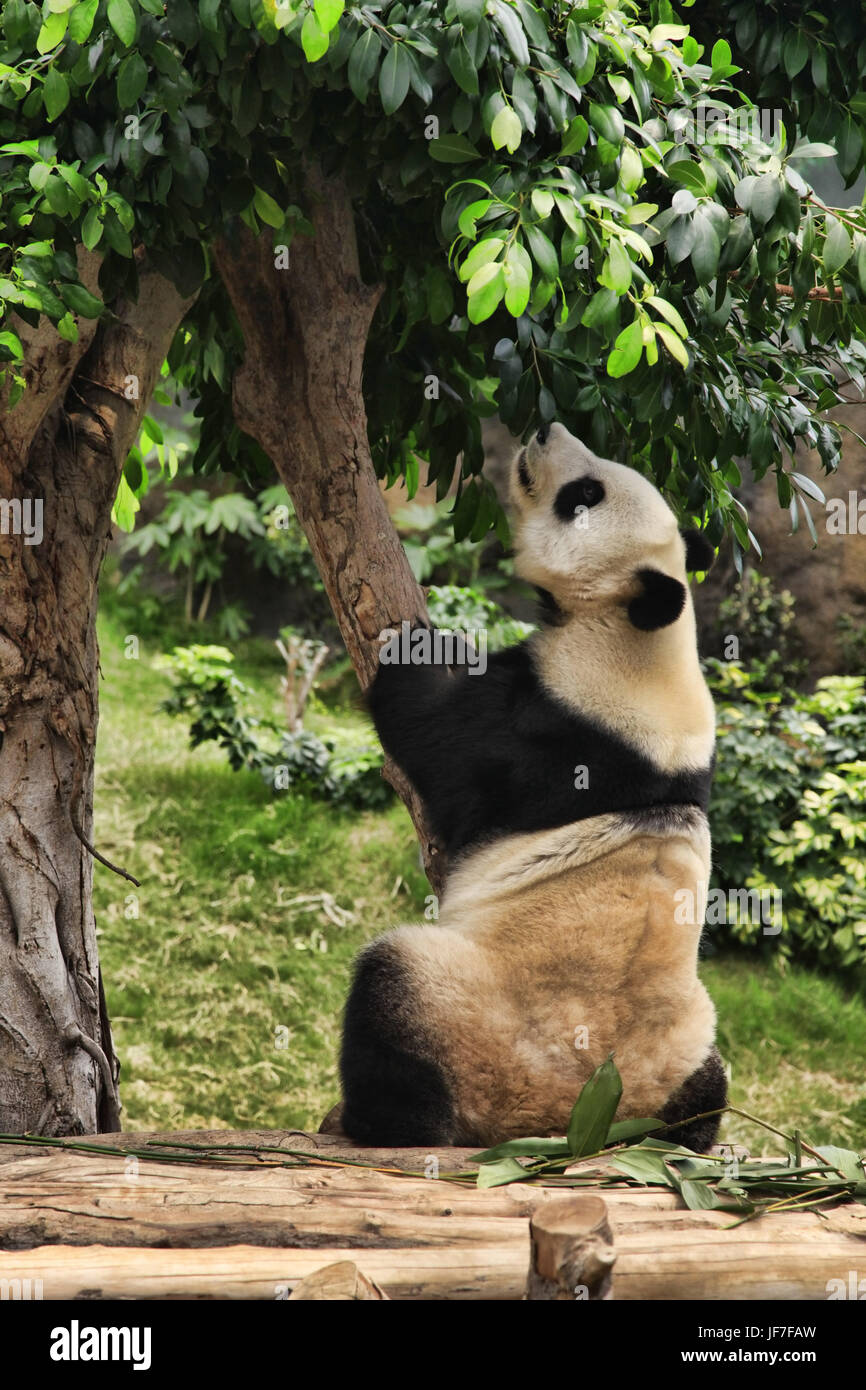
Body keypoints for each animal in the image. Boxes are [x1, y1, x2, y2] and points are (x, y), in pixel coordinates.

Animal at [338, 421, 725, 1153]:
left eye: (584, 496)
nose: (546, 431)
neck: (638, 636)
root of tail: (563, 1120)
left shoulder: (552, 727)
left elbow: (436, 739)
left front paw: (417, 643)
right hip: (686, 1046)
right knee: (708, 1091)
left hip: (470, 1010)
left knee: (393, 983)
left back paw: (380, 1122)